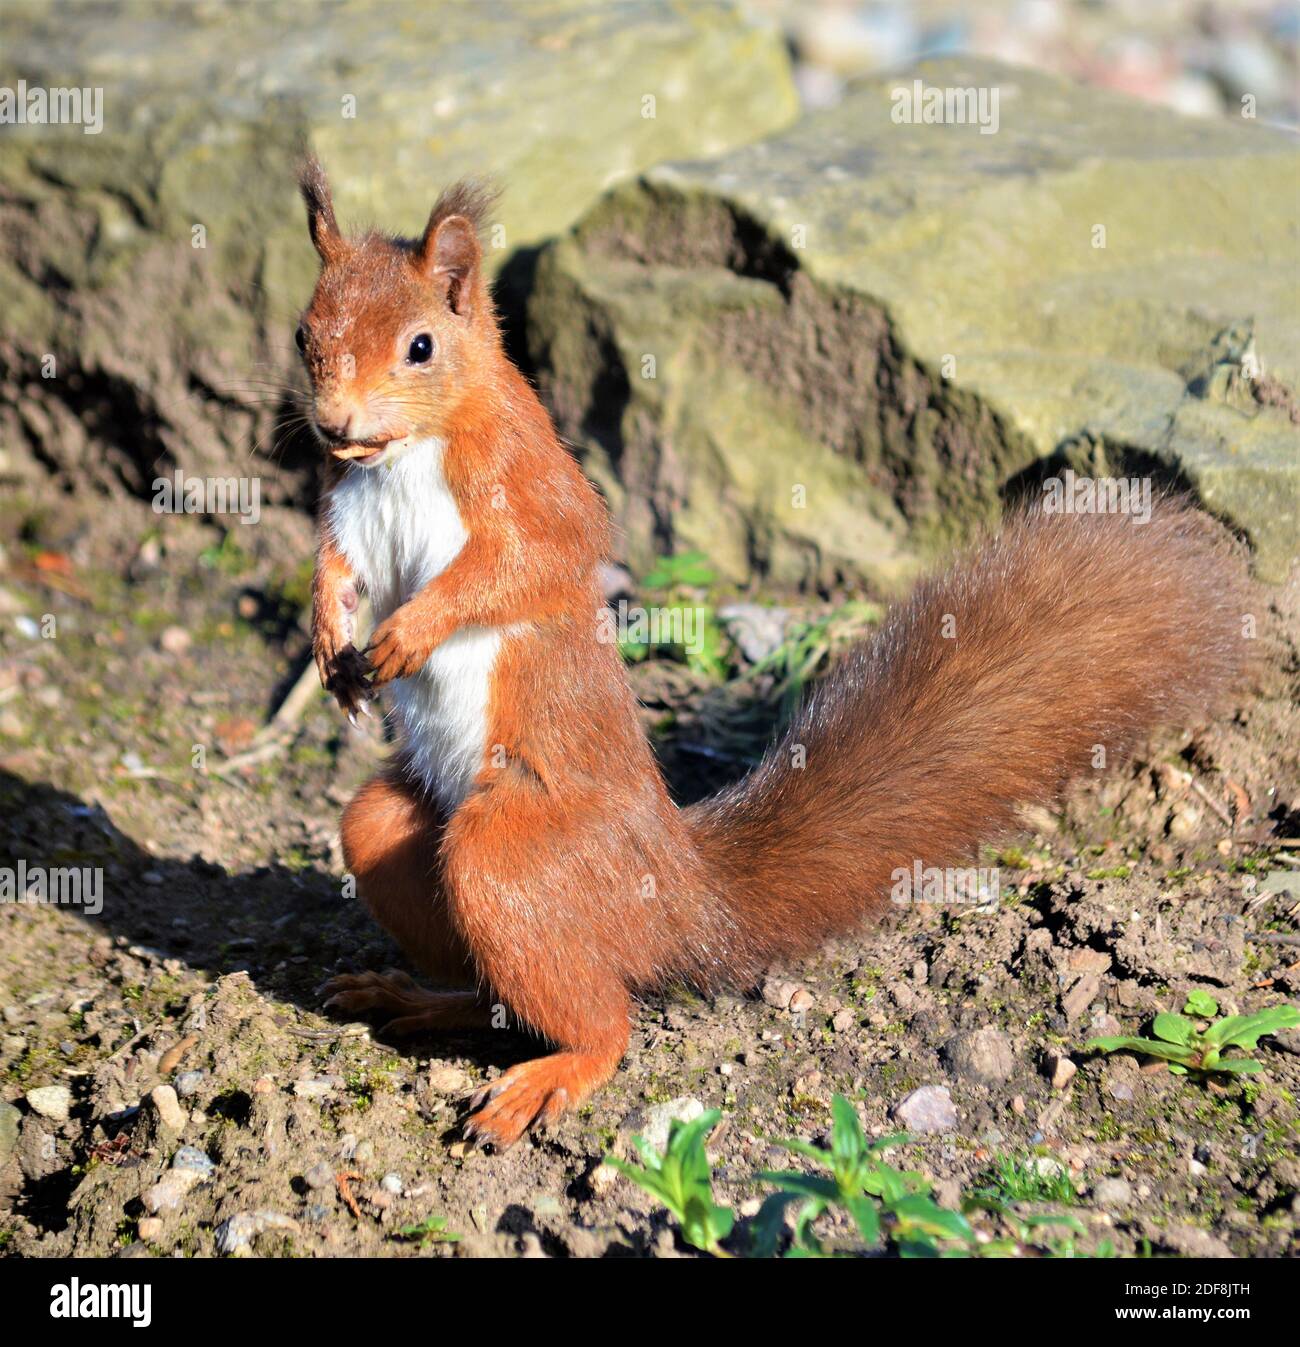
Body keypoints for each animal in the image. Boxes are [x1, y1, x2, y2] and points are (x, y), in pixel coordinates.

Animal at [296, 157, 1251, 1149]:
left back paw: (548, 1076)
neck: (402, 455)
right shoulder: (348, 508)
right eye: (302, 333)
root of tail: (676, 895)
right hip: (399, 834)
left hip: (506, 855)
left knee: (603, 1021)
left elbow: (529, 562)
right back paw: (410, 995)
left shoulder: (530, 484)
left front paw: (409, 629)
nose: (333, 423)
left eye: (420, 346)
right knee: (476, 969)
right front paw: (330, 639)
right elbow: (336, 565)